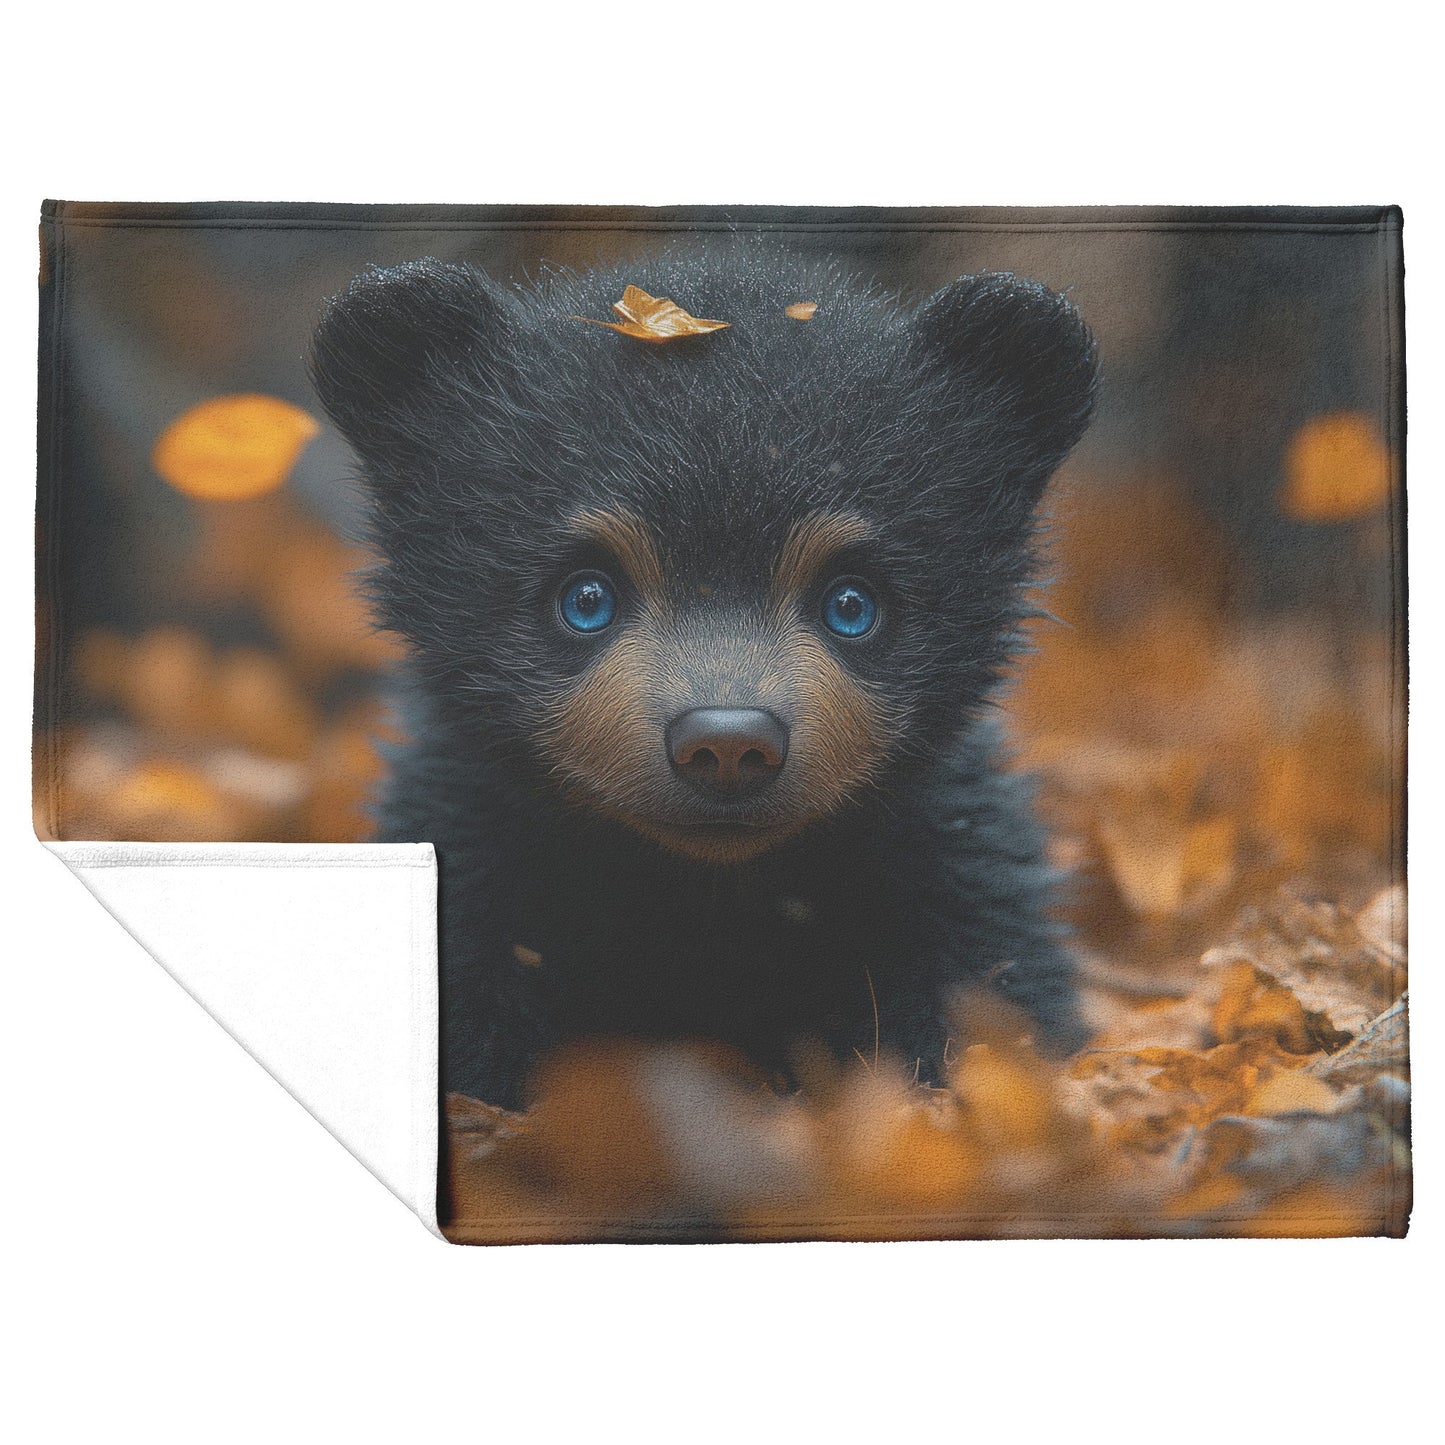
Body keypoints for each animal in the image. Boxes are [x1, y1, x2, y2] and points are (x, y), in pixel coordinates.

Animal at [309, 245, 1099, 1112]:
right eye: (586, 596)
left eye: (851, 603)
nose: (726, 742)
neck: (706, 902)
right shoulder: (472, 851)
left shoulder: (951, 867)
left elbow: (989, 985)